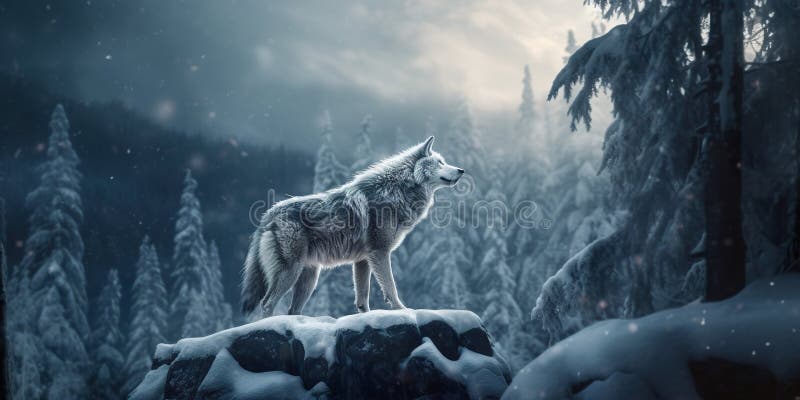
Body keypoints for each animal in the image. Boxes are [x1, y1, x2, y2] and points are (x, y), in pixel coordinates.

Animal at [241, 136, 464, 317]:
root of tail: (267, 215)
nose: (461, 170)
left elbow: (362, 299)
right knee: (267, 303)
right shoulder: (380, 252)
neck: (397, 190)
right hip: (291, 271)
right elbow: (391, 288)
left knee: (291, 310)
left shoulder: (363, 260)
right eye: (440, 162)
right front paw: (403, 311)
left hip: (309, 277)